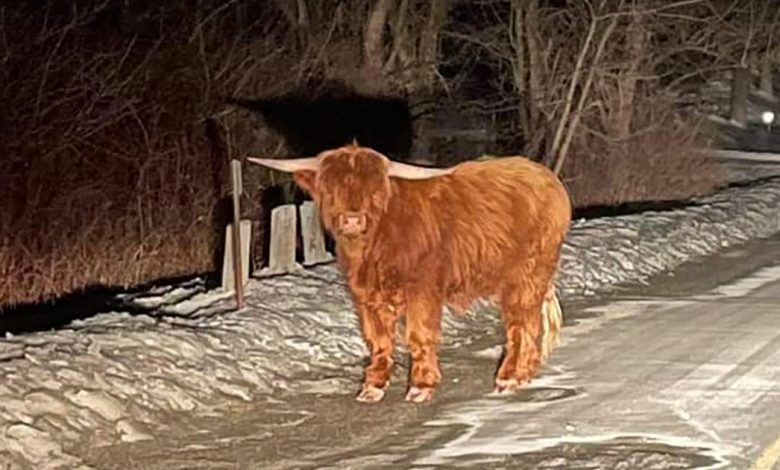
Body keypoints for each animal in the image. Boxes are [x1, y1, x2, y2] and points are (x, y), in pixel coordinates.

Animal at [249, 143, 571, 403]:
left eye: (375, 191)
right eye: (330, 190)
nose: (352, 220)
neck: (374, 244)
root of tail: (547, 178)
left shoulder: (423, 290)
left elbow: (419, 335)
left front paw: (421, 387)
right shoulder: (366, 296)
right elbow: (378, 340)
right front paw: (373, 387)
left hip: (527, 277)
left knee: (521, 326)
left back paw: (509, 378)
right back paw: (523, 373)